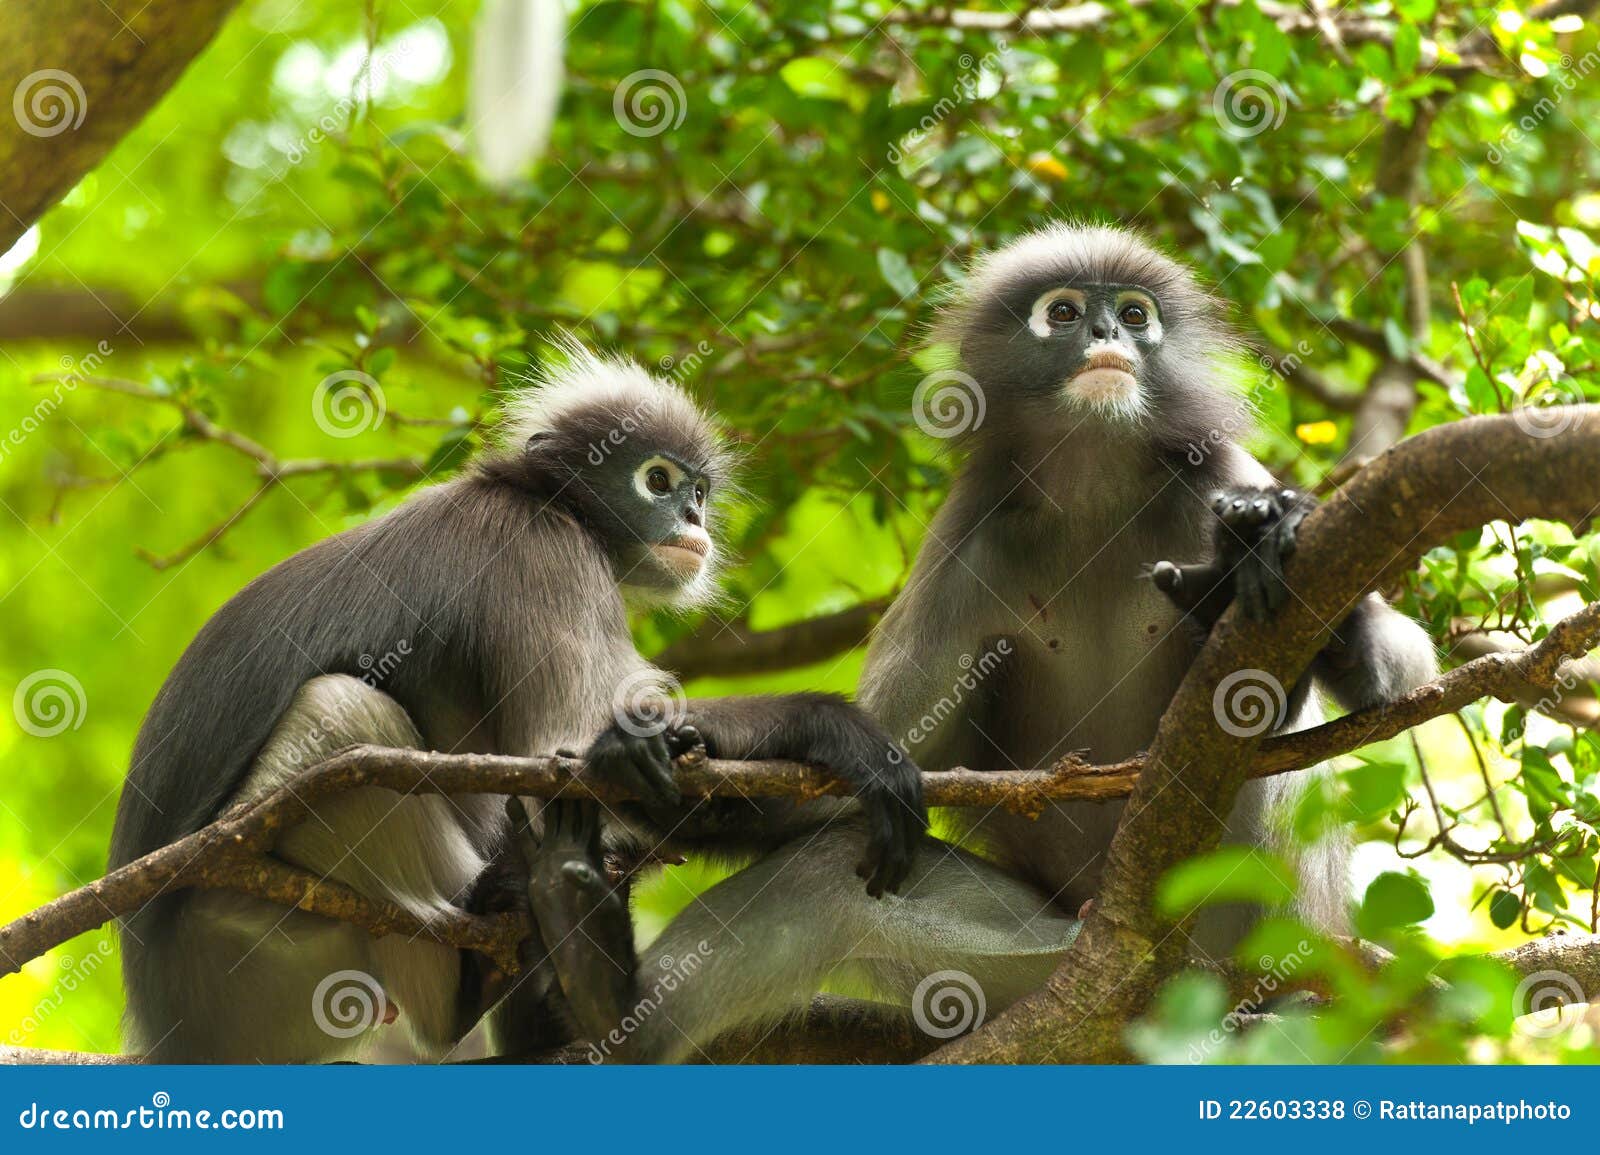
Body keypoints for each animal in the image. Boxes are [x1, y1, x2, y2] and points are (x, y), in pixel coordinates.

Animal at [107, 343, 926, 1063]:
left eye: (698, 491)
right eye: (658, 480)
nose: (694, 521)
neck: (538, 498)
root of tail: (164, 1023)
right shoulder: (545, 554)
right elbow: (577, 739)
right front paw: (838, 731)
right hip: (241, 940)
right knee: (341, 709)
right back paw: (490, 954)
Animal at [546, 223, 1438, 1062]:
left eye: (1135, 315)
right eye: (1066, 313)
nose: (1107, 334)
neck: (1094, 480)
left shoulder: (1223, 470)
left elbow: (1402, 674)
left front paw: (1272, 536)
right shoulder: (965, 541)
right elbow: (862, 780)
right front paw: (659, 756)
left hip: (1266, 924)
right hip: (1044, 961)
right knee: (828, 868)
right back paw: (602, 1005)